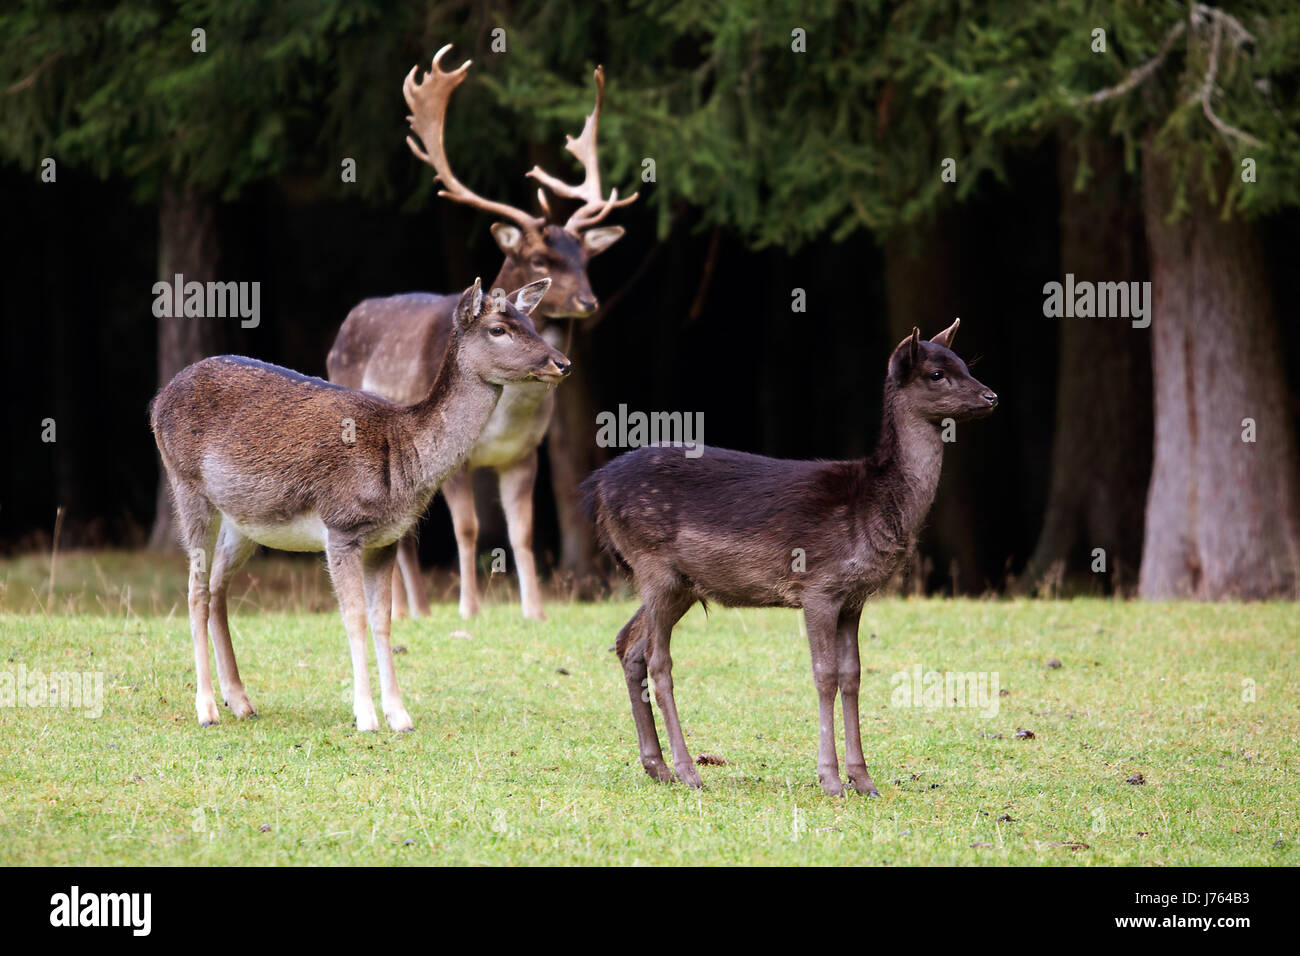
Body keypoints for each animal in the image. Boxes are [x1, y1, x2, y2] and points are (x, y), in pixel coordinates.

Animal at [150, 277, 569, 731]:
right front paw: (365, 715)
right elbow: (353, 618)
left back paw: (241, 700)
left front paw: (400, 715)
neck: (402, 458)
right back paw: (207, 707)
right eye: (498, 329)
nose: (562, 363)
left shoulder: (386, 539)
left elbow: (382, 620)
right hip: (187, 485)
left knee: (217, 586)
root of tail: (157, 401)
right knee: (195, 590)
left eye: (532, 322)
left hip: (244, 520)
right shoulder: (341, 527)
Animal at [327, 45, 637, 623]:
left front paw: (535, 611)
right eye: (538, 259)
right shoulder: (454, 461)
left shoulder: (525, 453)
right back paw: (412, 612)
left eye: (585, 258)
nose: (589, 301)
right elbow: (469, 529)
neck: (503, 421)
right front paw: (469, 611)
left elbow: (524, 532)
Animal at [582, 320, 997, 796]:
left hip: (680, 584)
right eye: (936, 374)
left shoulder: (854, 597)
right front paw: (831, 779)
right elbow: (825, 675)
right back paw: (688, 770)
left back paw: (657, 767)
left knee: (627, 644)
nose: (991, 397)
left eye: (965, 363)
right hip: (654, 565)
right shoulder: (819, 586)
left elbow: (852, 675)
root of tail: (594, 489)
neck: (873, 503)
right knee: (657, 659)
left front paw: (863, 779)